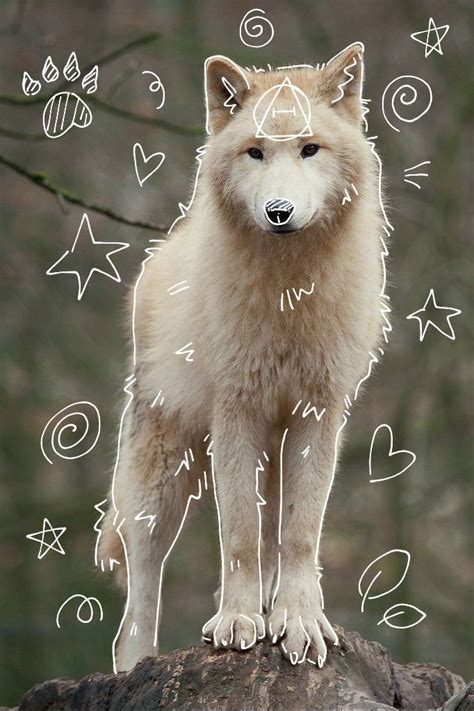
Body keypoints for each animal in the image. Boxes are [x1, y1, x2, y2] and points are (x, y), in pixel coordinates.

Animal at [99, 43, 387, 672]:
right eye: (255, 151)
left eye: (309, 148)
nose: (279, 211)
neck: (287, 295)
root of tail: (163, 250)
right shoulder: (237, 413)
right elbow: (238, 534)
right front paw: (236, 622)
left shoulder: (318, 415)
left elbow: (299, 533)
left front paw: (298, 622)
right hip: (160, 477)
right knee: (139, 594)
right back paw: (139, 664)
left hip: (271, 451)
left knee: (273, 535)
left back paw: (271, 611)